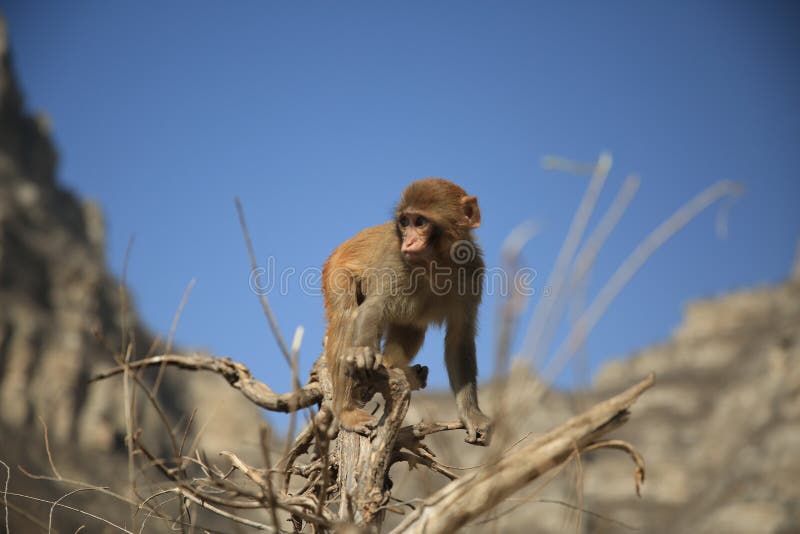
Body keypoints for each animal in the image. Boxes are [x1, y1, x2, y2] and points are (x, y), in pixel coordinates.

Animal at [322, 178, 491, 445]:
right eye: (404, 222)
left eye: (420, 222)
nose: (408, 242)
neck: (435, 262)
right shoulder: (396, 257)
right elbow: (372, 308)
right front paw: (362, 353)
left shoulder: (473, 270)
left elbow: (459, 339)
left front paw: (471, 415)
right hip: (336, 272)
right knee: (347, 316)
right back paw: (346, 410)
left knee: (413, 324)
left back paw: (395, 366)